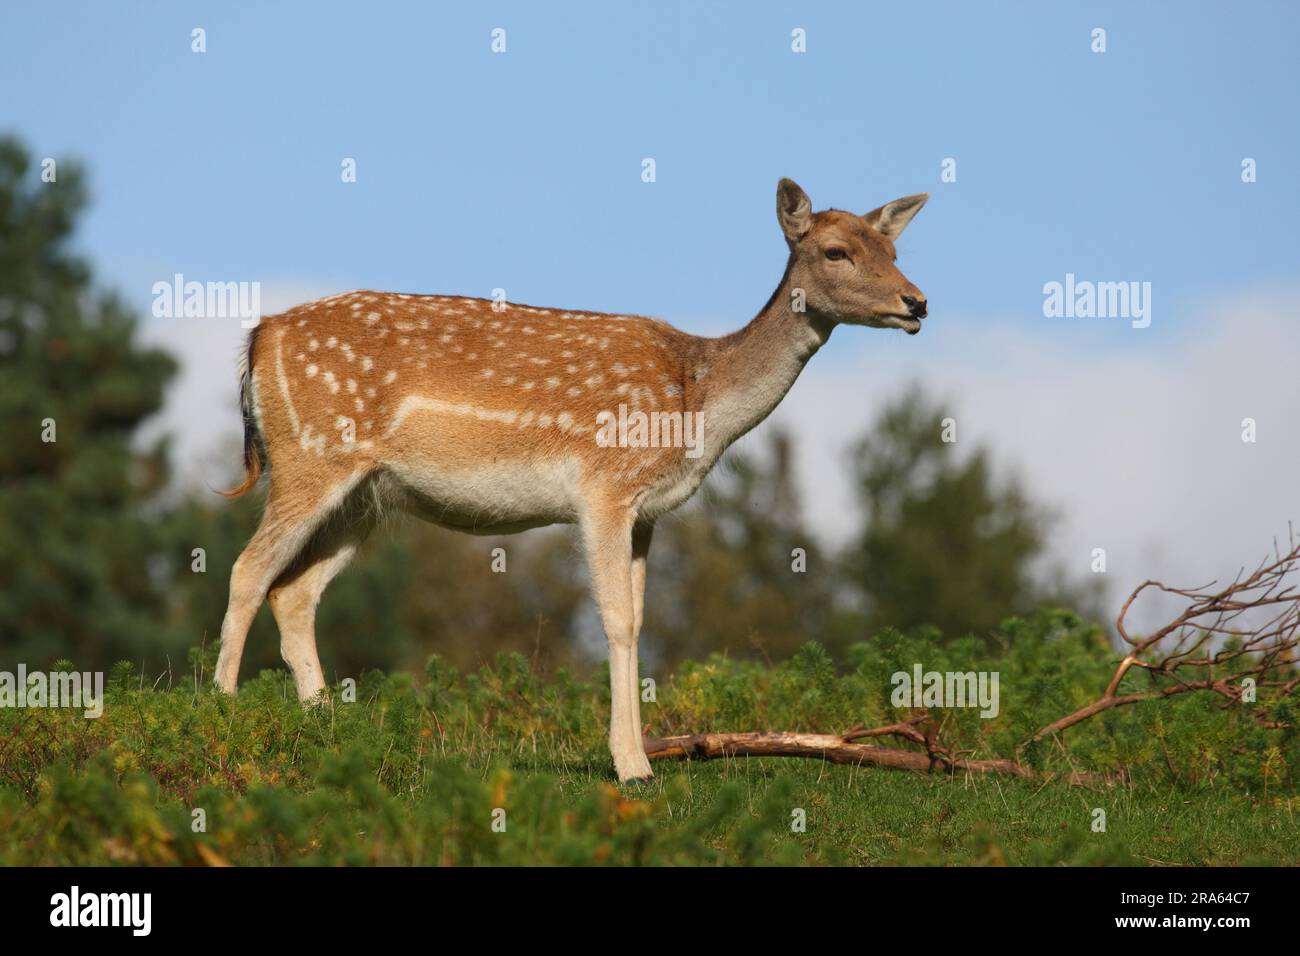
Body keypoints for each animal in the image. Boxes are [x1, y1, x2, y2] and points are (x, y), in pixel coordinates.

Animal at [213, 178, 929, 783]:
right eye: (836, 251)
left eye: (894, 248)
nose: (917, 300)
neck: (697, 400)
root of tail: (259, 337)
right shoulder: (604, 487)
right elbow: (616, 620)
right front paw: (631, 767)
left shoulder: (648, 511)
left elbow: (640, 620)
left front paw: (640, 756)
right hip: (309, 457)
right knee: (247, 569)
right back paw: (218, 715)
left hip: (365, 496)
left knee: (294, 592)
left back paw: (328, 727)